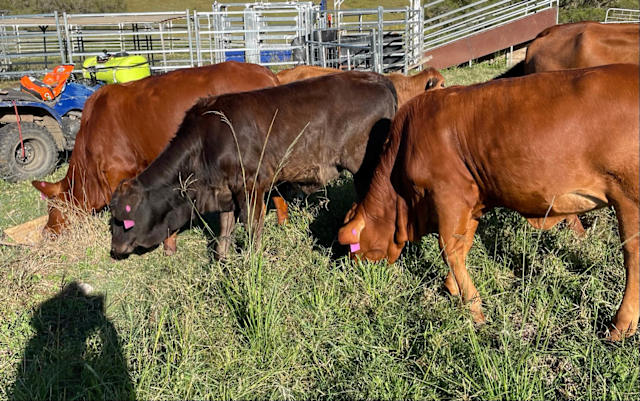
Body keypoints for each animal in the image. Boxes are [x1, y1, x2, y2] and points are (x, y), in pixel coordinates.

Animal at [109, 71, 398, 260]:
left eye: (123, 218)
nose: (114, 250)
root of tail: (378, 78)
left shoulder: (250, 188)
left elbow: (252, 232)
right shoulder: (225, 192)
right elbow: (224, 234)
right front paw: (223, 264)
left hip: (364, 166)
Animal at [338, 64, 639, 341]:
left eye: (354, 246)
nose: (358, 272)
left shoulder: (449, 194)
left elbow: (450, 249)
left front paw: (473, 308)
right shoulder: (472, 200)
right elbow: (463, 244)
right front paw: (453, 287)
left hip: (629, 198)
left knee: (632, 256)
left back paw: (620, 325)